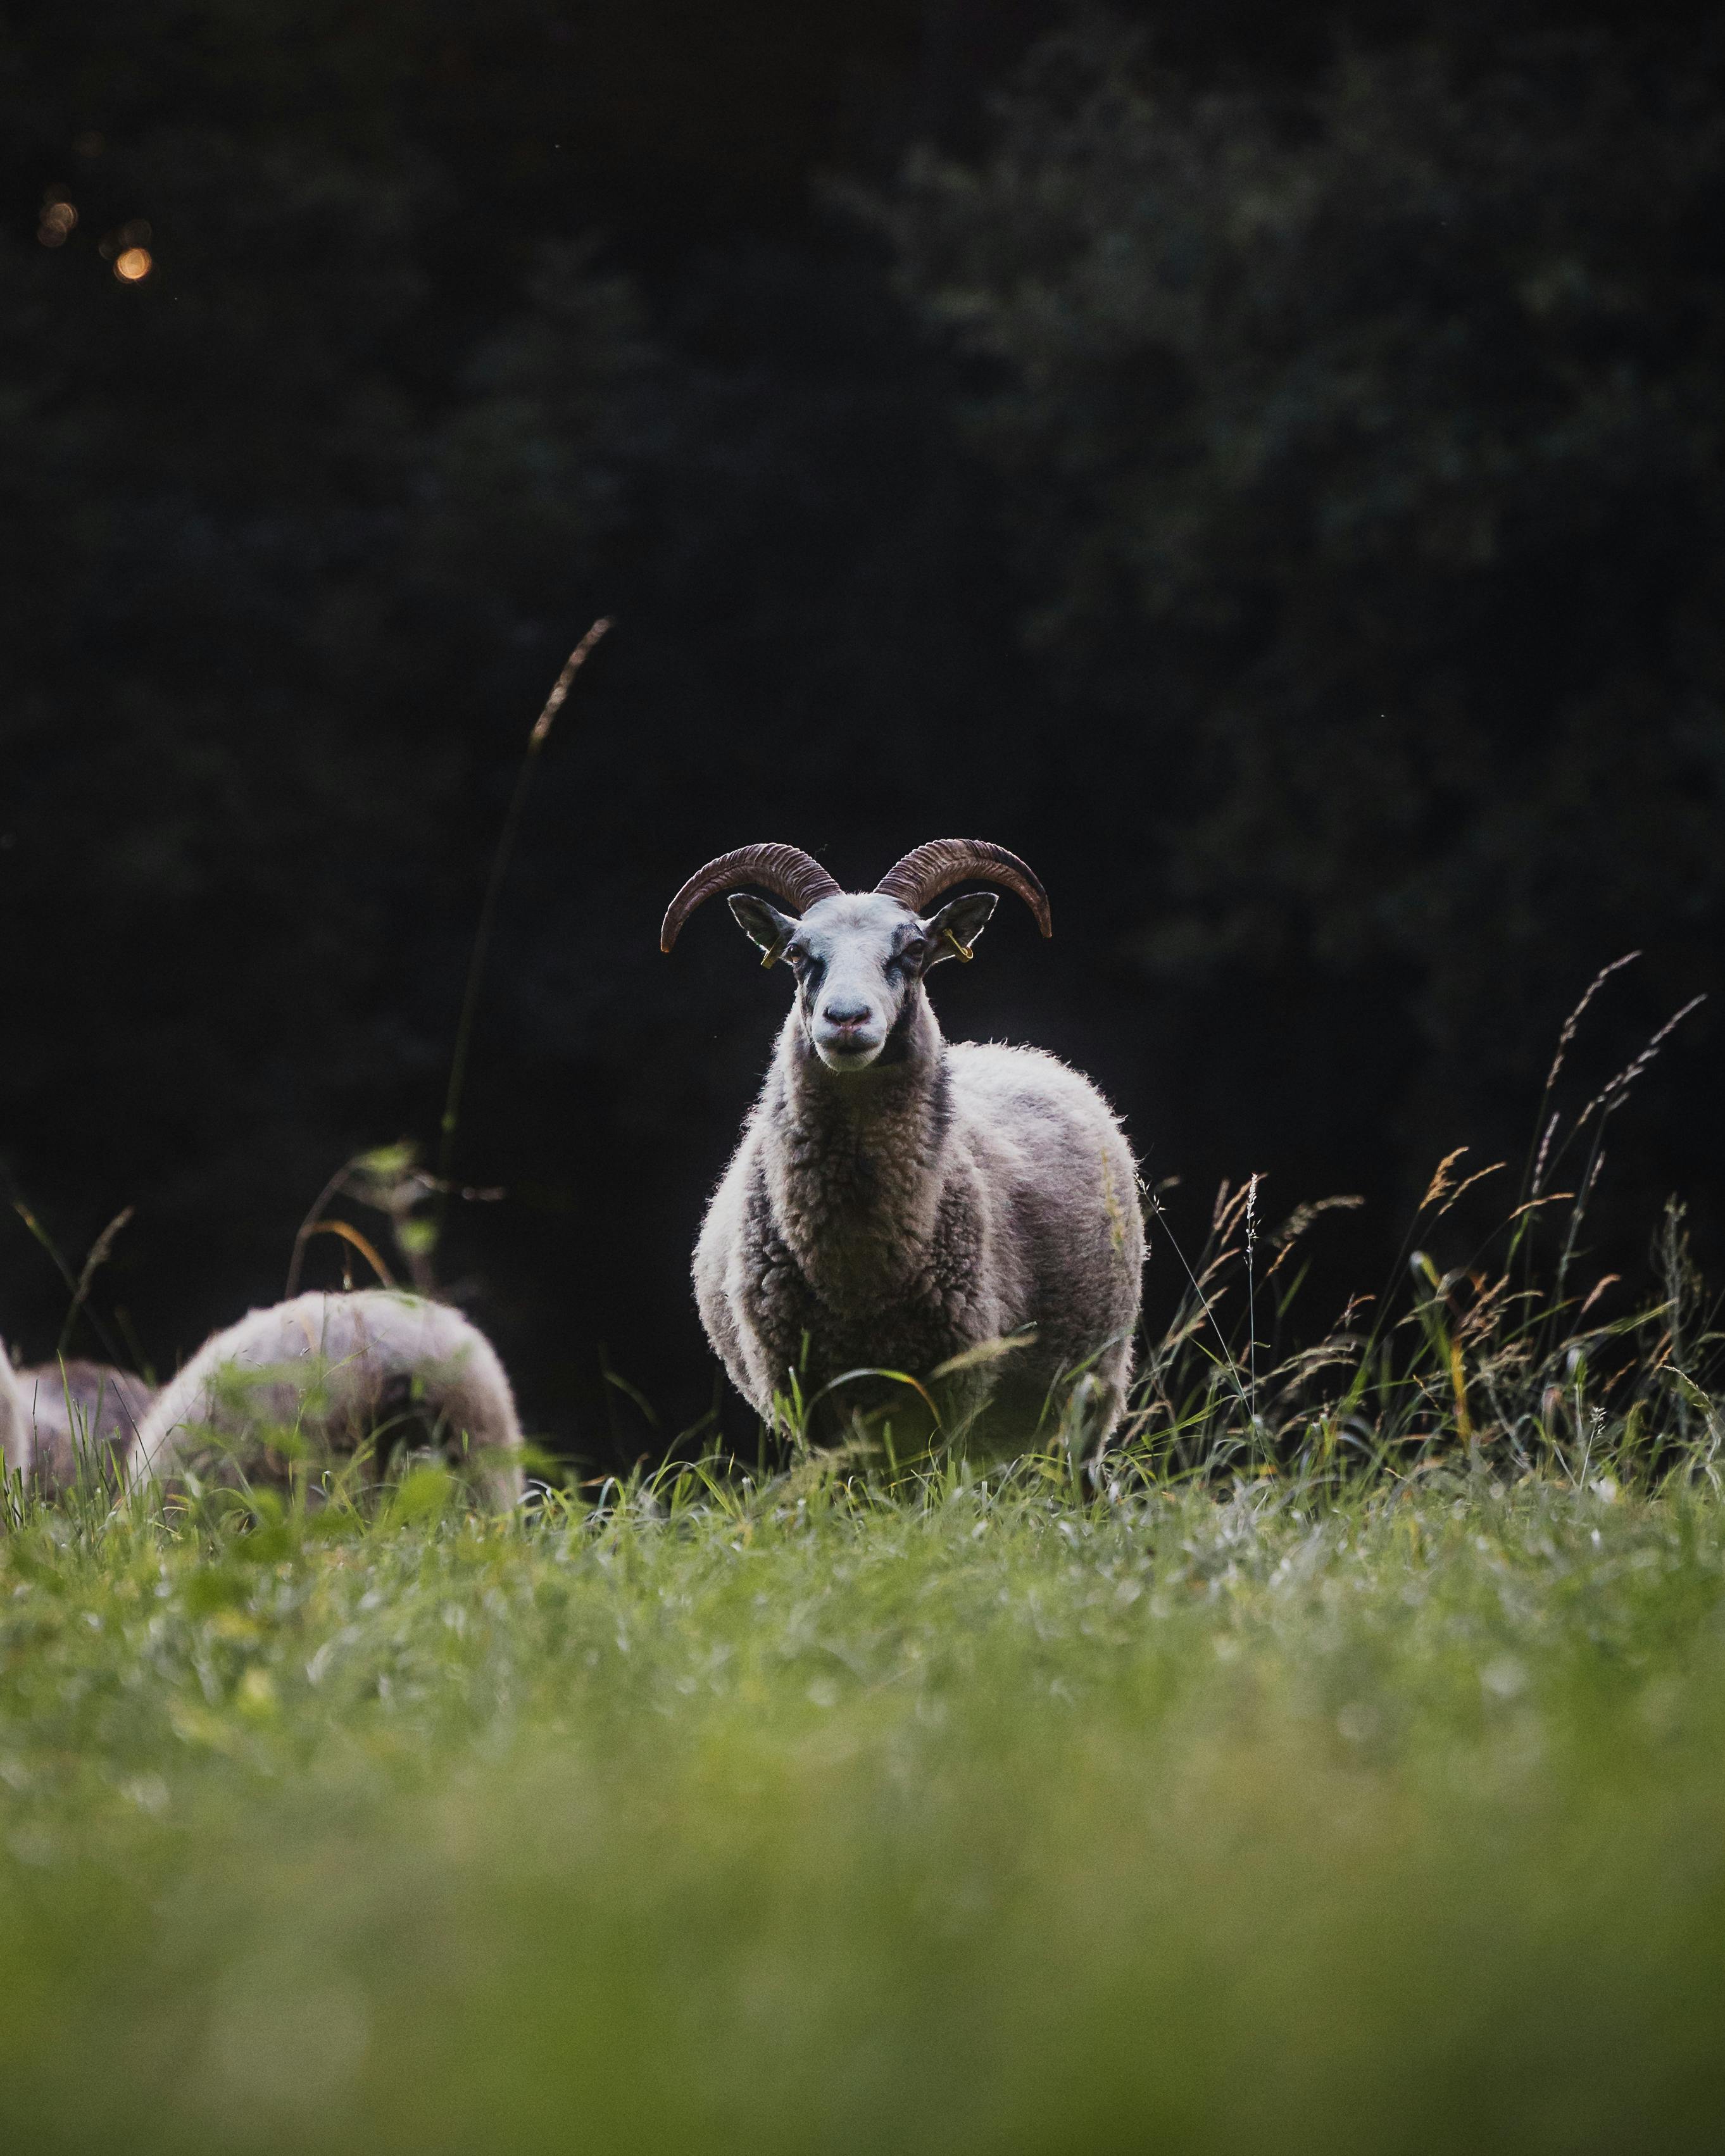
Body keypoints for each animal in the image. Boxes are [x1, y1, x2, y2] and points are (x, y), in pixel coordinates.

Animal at [662, 839, 1145, 1454]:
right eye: (795, 952)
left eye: (914, 949)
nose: (846, 1019)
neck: (857, 1273)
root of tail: (1019, 1052)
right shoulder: (807, 1394)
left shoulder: (953, 1382)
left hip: (1086, 1394)